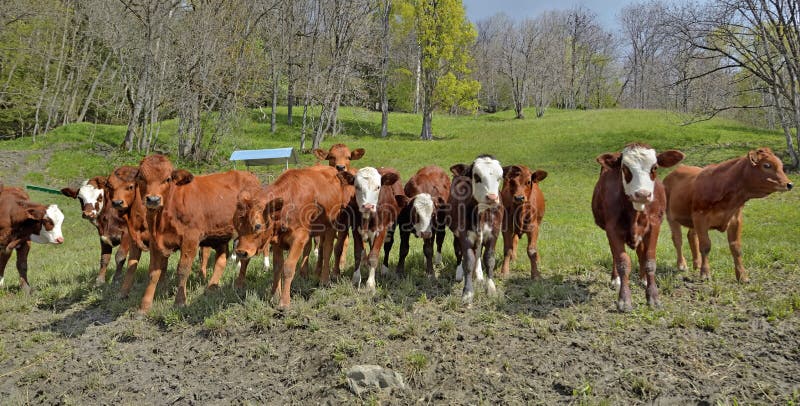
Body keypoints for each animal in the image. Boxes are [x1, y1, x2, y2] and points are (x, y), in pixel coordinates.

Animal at [133, 155, 260, 312]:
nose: (153, 199)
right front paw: (144, 307)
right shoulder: (155, 242)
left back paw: (239, 284)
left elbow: (183, 270)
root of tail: (250, 176)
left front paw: (179, 302)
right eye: (141, 177)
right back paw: (211, 287)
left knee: (245, 258)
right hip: (220, 234)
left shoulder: (190, 239)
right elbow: (153, 273)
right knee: (221, 259)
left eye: (168, 179)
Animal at [232, 166, 350, 308]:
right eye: (236, 225)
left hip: (331, 226)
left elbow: (288, 268)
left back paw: (324, 280)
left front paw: (284, 302)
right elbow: (277, 267)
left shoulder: (299, 238)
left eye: (257, 226)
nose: (241, 252)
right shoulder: (277, 241)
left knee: (327, 250)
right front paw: (274, 296)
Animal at [448, 155, 505, 304]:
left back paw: (478, 274)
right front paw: (467, 293)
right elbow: (468, 261)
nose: (492, 197)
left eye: (500, 177)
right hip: (456, 233)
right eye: (477, 176)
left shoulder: (493, 234)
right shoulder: (465, 235)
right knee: (458, 251)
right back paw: (459, 273)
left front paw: (490, 287)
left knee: (478, 252)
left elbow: (489, 259)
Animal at [591, 143, 684, 312]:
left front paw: (653, 296)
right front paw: (624, 299)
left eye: (654, 167)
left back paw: (643, 278)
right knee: (614, 256)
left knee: (641, 251)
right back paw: (615, 279)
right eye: (625, 168)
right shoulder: (612, 229)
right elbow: (622, 262)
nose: (642, 194)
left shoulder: (654, 226)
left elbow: (649, 260)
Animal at [664, 147, 793, 282]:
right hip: (671, 216)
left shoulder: (735, 219)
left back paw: (697, 263)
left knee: (691, 236)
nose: (789, 184)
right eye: (767, 165)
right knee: (677, 239)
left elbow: (736, 247)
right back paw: (682, 264)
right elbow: (705, 245)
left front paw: (742, 275)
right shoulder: (700, 217)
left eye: (781, 165)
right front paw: (705, 273)